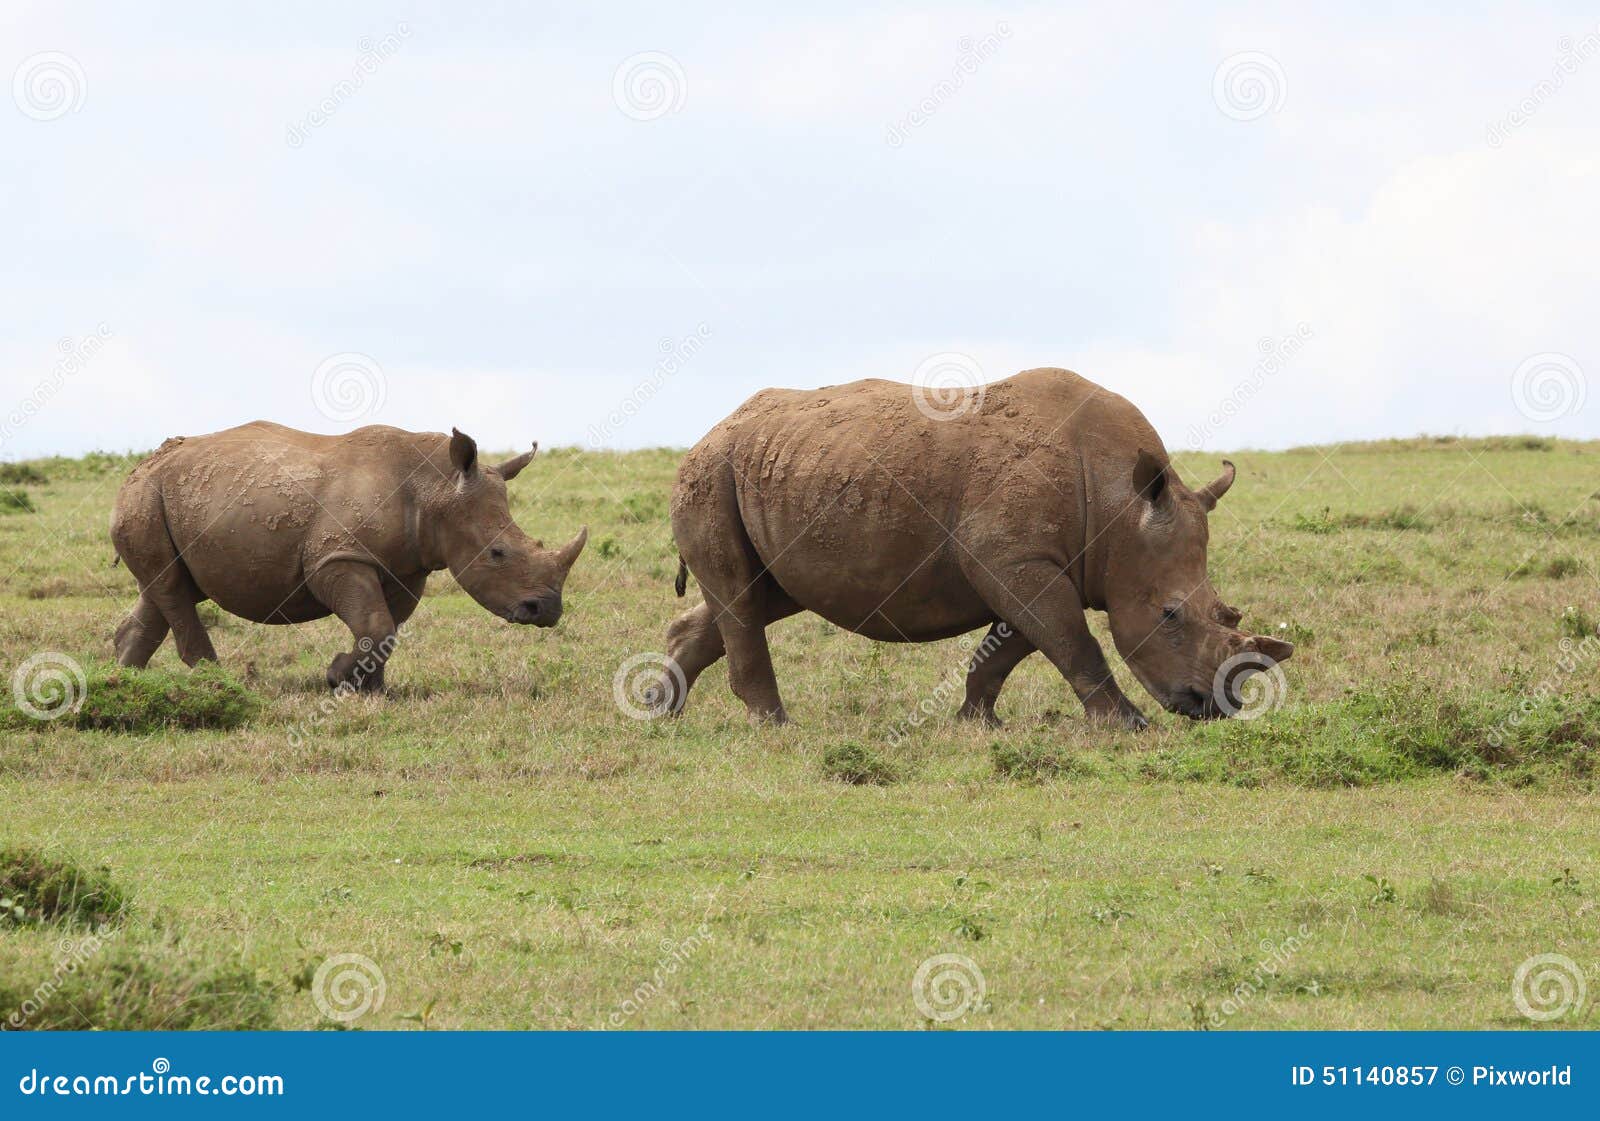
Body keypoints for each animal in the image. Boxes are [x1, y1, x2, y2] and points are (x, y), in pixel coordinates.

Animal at [110, 422, 587, 691]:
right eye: (497, 553)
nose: (547, 610)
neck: (434, 487)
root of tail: (140, 466)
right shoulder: (339, 557)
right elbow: (377, 624)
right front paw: (338, 678)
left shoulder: (405, 568)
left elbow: (384, 628)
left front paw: (370, 689)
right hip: (145, 497)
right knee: (170, 586)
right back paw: (216, 684)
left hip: (173, 498)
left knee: (167, 588)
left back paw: (119, 683)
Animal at [654, 367, 1291, 728]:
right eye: (1169, 614)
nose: (1214, 708)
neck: (1119, 509)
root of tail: (713, 428)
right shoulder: (1017, 562)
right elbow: (1072, 642)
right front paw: (1127, 727)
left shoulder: (1036, 565)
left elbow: (1014, 648)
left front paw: (977, 722)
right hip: (712, 473)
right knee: (740, 595)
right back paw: (776, 728)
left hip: (774, 470)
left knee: (762, 594)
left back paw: (660, 710)